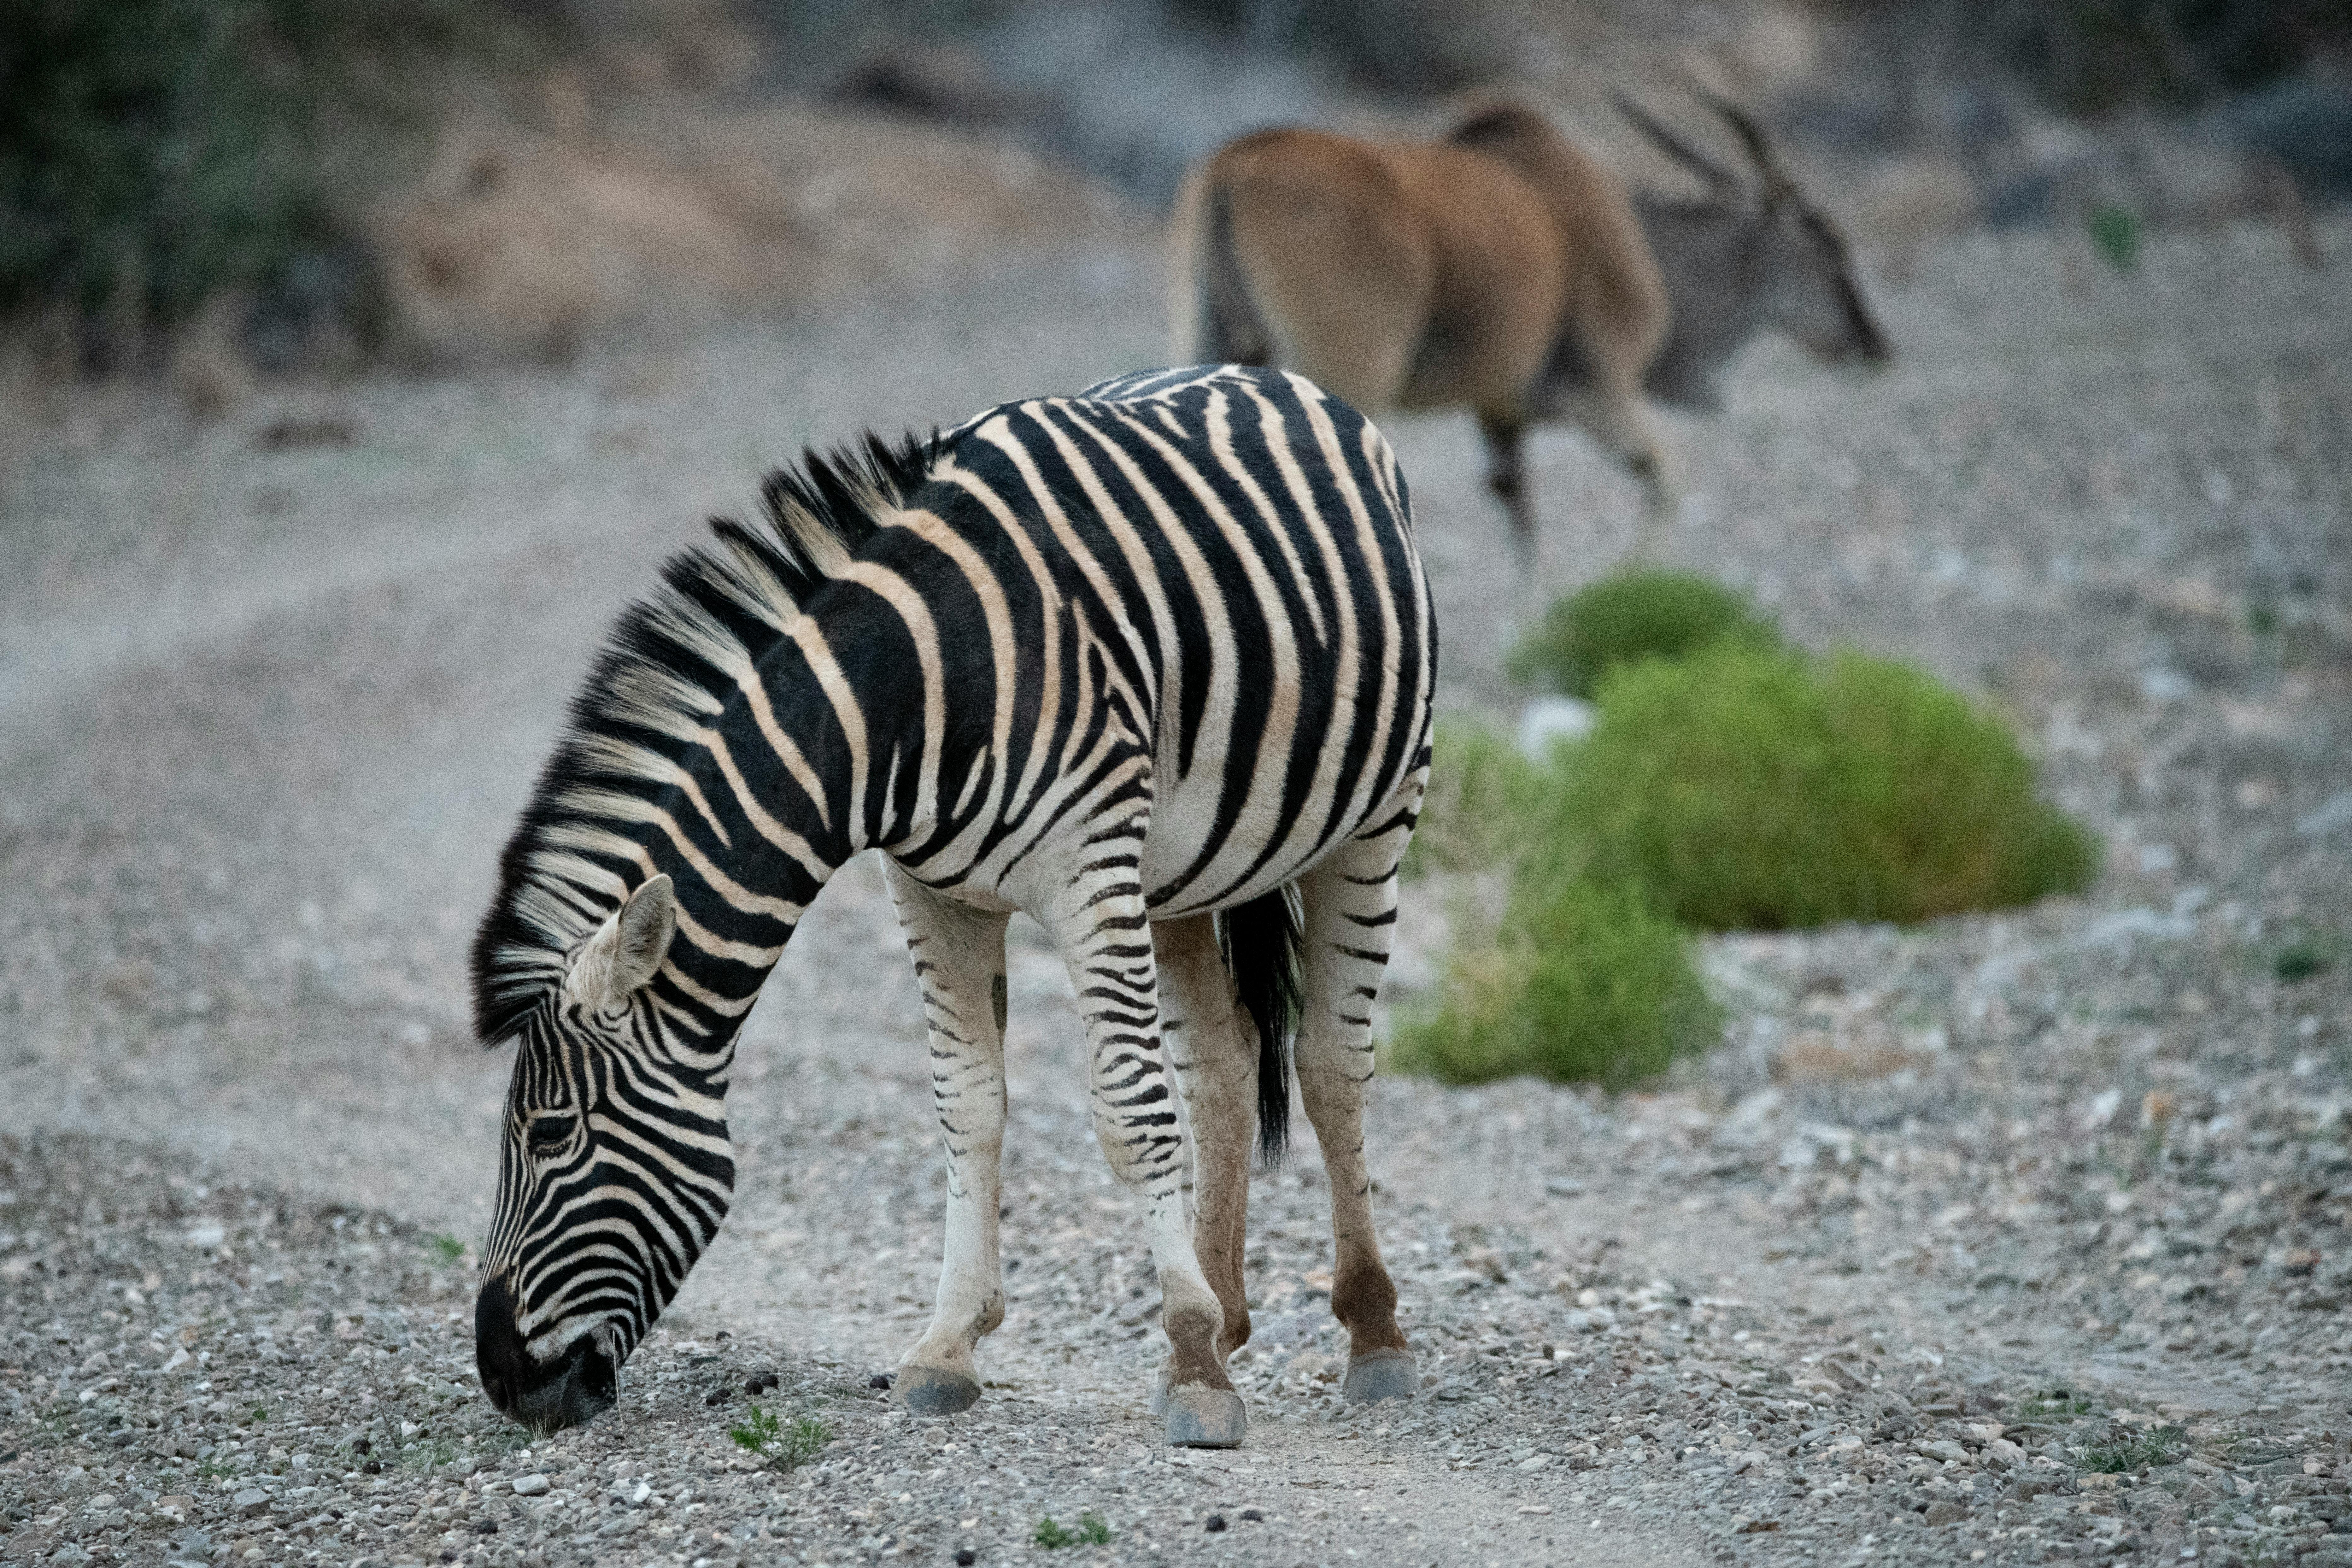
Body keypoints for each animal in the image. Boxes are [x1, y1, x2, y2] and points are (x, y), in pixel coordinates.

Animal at [469, 364, 1436, 1448]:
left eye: (552, 1135)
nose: (502, 1378)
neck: (912, 692)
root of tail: (1268, 373)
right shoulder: (932, 892)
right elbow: (967, 1103)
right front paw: (948, 1347)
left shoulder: (1088, 867)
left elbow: (1130, 1110)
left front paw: (1189, 1366)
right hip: (1184, 871)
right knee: (1223, 1068)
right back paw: (1227, 1314)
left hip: (1378, 815)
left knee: (1330, 1064)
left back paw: (1370, 1334)